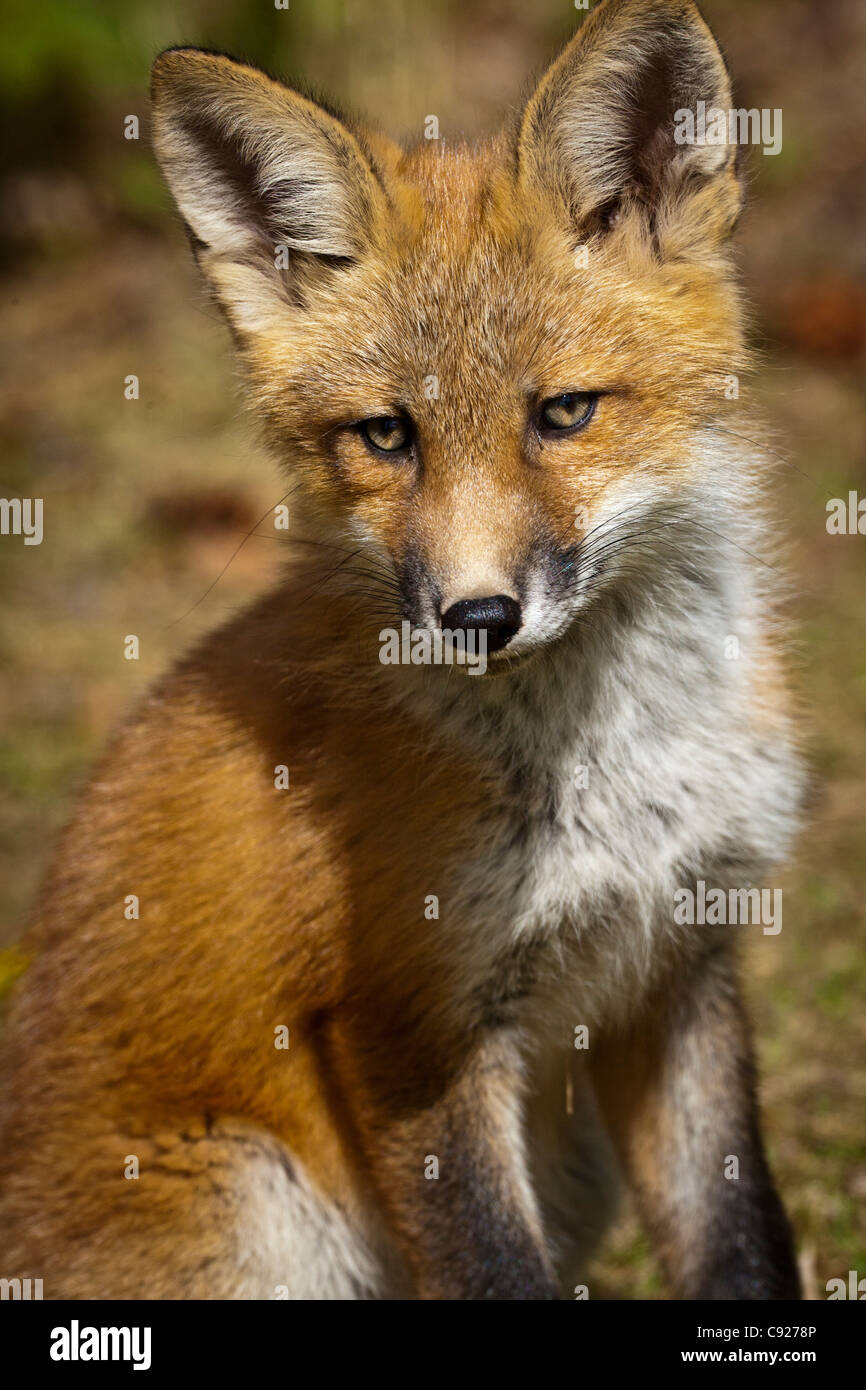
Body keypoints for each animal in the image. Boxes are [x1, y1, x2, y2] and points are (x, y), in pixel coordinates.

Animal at [0, 0, 804, 1300]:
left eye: (562, 414)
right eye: (387, 435)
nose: (474, 617)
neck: (612, 763)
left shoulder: (681, 963)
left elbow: (740, 1243)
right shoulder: (407, 1023)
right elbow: (490, 1266)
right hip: (260, 1213)